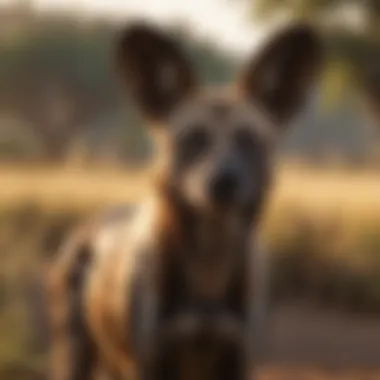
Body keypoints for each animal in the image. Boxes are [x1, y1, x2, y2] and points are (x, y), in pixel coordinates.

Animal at [46, 21, 322, 380]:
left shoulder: (237, 359)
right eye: (193, 140)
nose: (224, 182)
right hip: (75, 356)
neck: (208, 271)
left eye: (249, 140)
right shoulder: (149, 362)